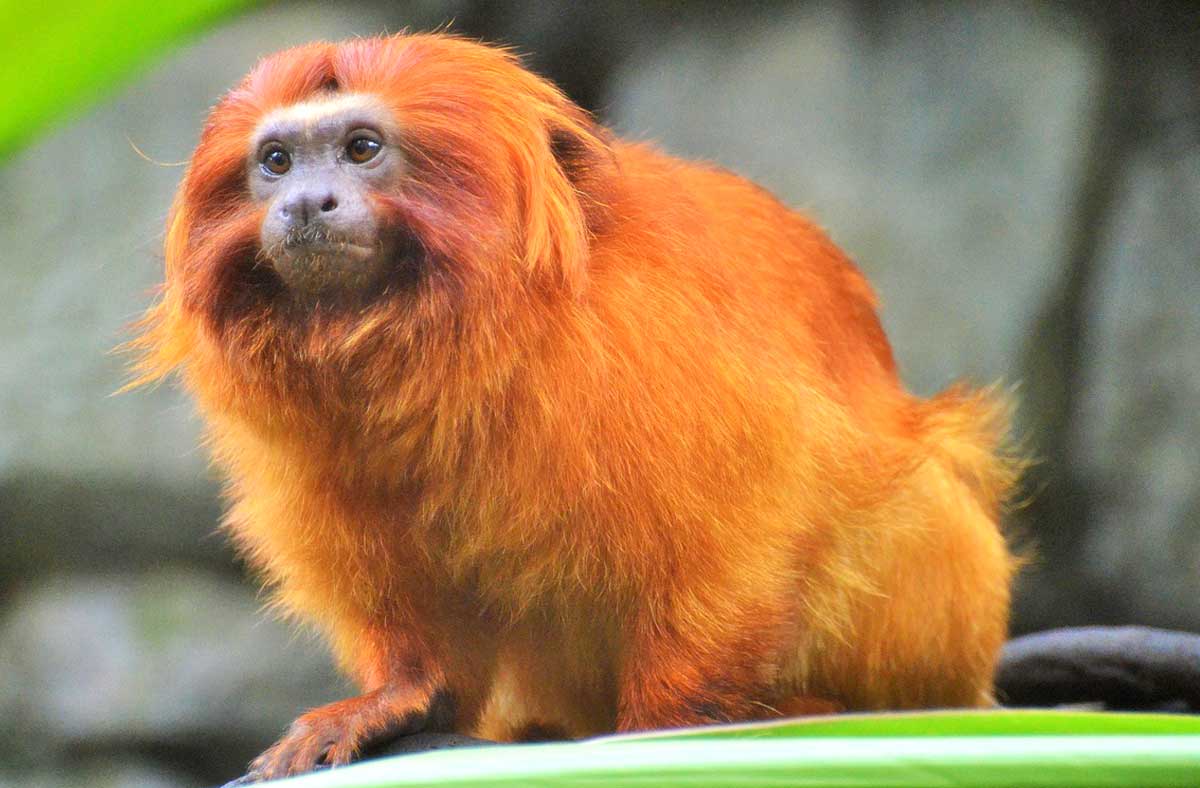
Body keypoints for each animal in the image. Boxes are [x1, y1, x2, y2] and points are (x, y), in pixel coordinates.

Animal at [128, 34, 1020, 781]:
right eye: (276, 161)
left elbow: (738, 537)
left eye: (362, 149)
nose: (306, 203)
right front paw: (404, 695)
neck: (456, 353)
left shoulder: (663, 356)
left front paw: (669, 726)